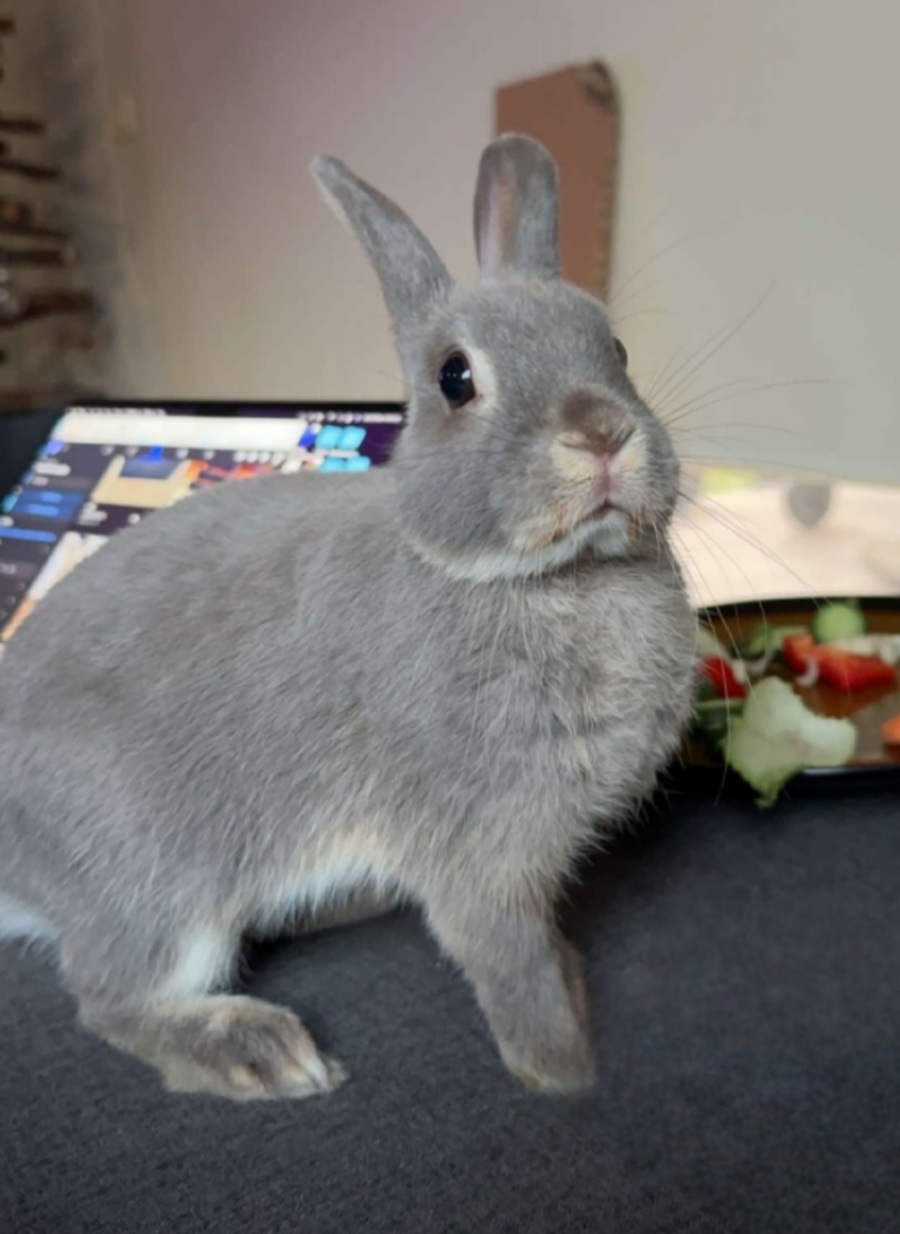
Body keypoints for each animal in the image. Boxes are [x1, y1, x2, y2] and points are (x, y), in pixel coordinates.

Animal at [0, 134, 696, 1101]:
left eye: (616, 348)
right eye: (455, 378)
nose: (601, 433)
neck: (535, 575)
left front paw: (574, 990)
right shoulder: (480, 855)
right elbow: (507, 962)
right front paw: (564, 1070)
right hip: (154, 877)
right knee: (112, 1000)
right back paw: (259, 1051)